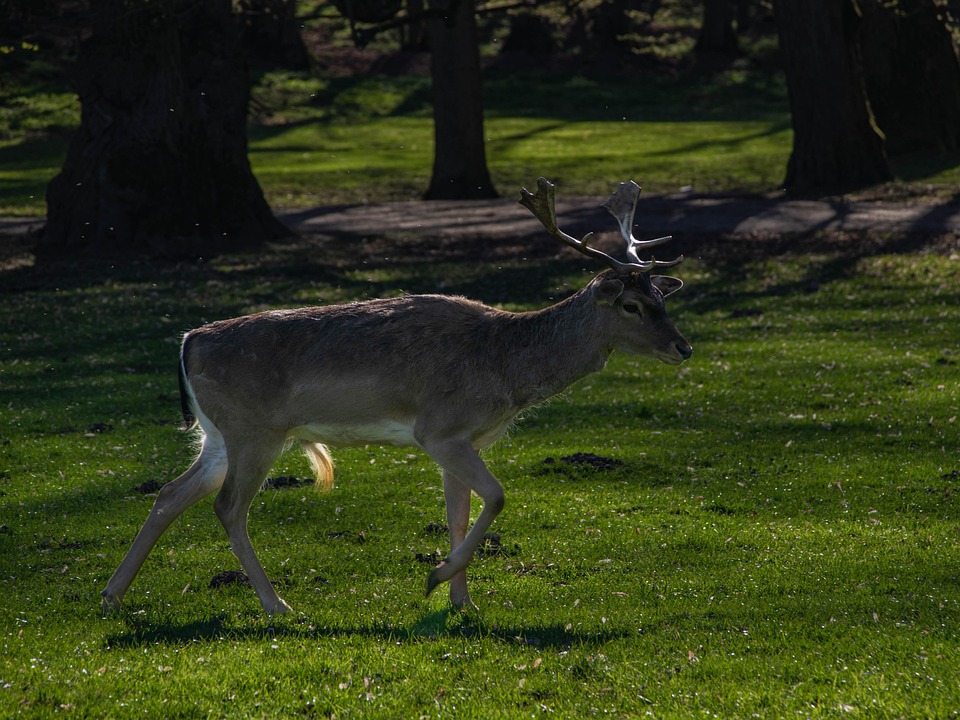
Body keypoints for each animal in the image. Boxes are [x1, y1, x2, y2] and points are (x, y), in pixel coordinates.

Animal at [100, 177, 692, 616]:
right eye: (632, 306)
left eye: (662, 297)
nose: (683, 347)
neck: (504, 365)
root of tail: (188, 342)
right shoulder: (439, 428)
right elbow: (498, 496)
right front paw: (436, 579)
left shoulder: (464, 439)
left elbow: (460, 513)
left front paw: (461, 603)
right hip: (254, 430)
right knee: (227, 507)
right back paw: (277, 606)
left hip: (218, 433)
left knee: (171, 494)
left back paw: (111, 595)